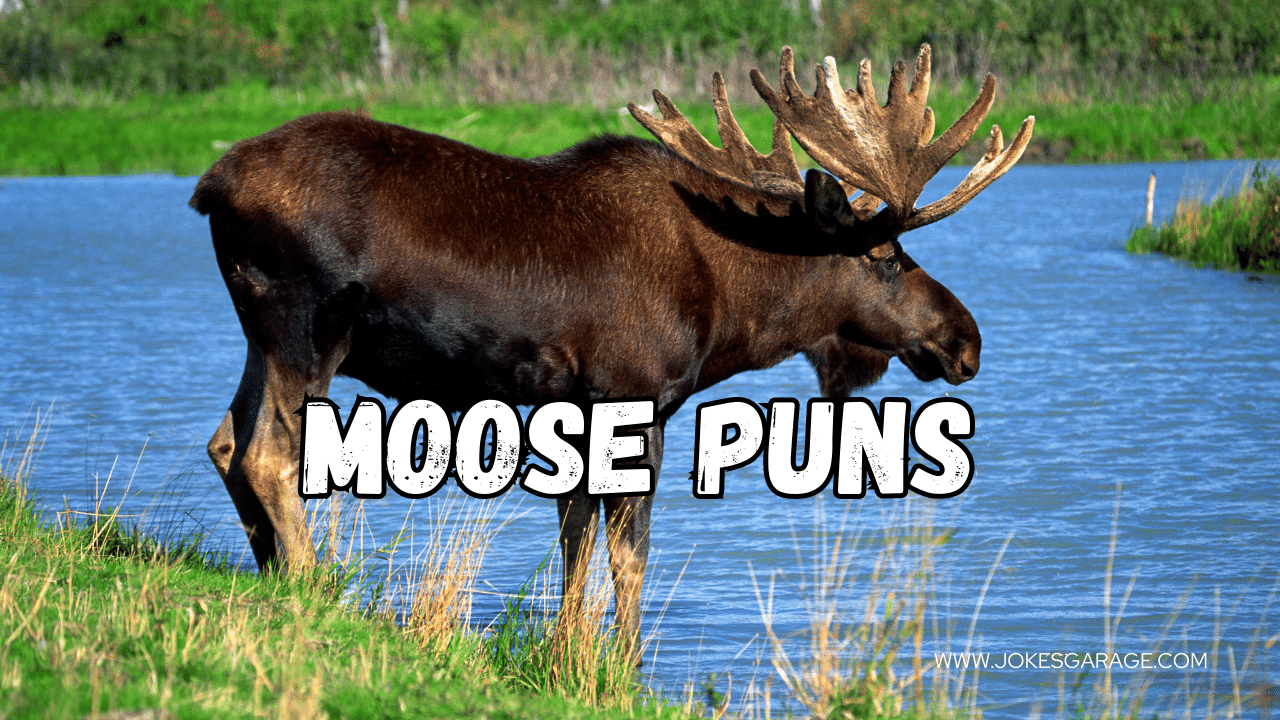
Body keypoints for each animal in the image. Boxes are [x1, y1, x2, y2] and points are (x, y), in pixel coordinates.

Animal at [189, 44, 1033, 658]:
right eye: (886, 255)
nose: (965, 340)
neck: (735, 307)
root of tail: (210, 184)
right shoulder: (637, 397)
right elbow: (629, 553)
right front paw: (624, 666)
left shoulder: (574, 405)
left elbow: (574, 540)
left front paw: (565, 656)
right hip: (309, 326)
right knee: (269, 453)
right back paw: (312, 591)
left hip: (262, 334)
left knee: (226, 440)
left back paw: (274, 580)